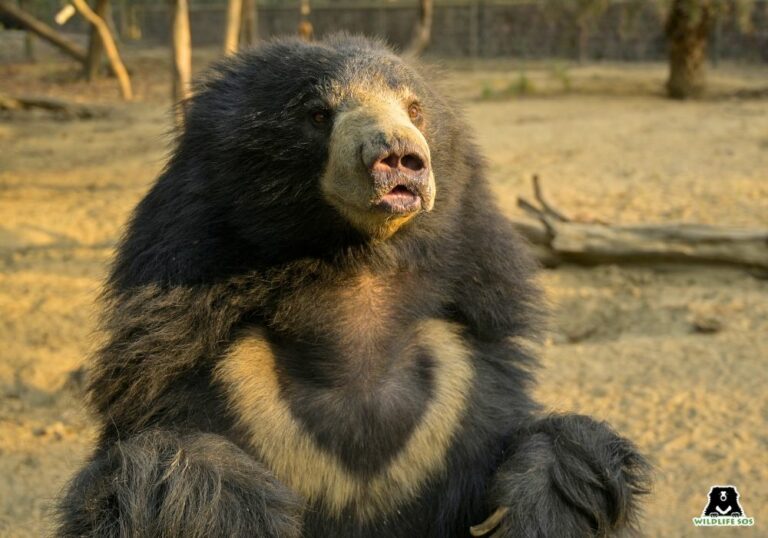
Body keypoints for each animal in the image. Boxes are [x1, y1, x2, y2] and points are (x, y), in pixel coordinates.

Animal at [56, 35, 650, 537]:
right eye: (318, 114)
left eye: (415, 109)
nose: (399, 156)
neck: (354, 279)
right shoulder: (204, 364)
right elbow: (160, 466)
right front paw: (205, 496)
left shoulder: (460, 390)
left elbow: (547, 456)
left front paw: (549, 490)